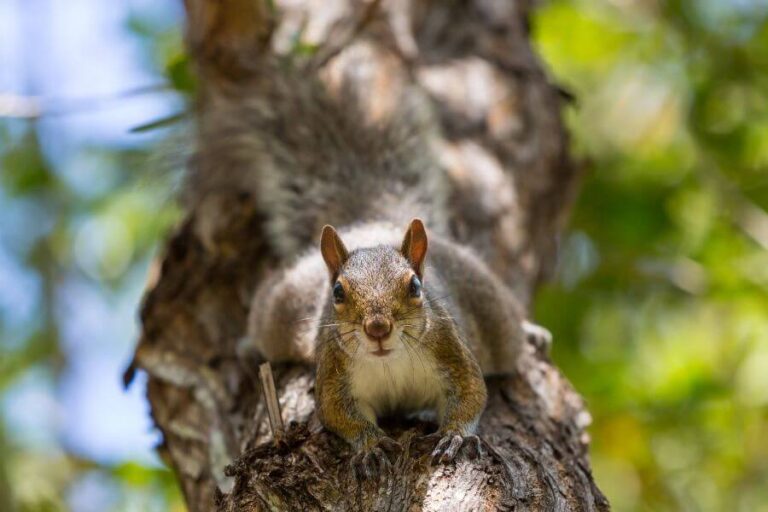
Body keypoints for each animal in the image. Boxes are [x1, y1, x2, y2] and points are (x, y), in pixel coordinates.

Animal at [196, 58, 552, 478]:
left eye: (415, 287)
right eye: (337, 292)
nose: (378, 329)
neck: (390, 361)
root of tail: (372, 224)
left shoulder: (451, 351)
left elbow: (471, 393)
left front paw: (455, 436)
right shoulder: (334, 376)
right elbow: (339, 415)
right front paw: (370, 445)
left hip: (492, 313)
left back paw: (530, 332)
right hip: (281, 308)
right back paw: (250, 347)